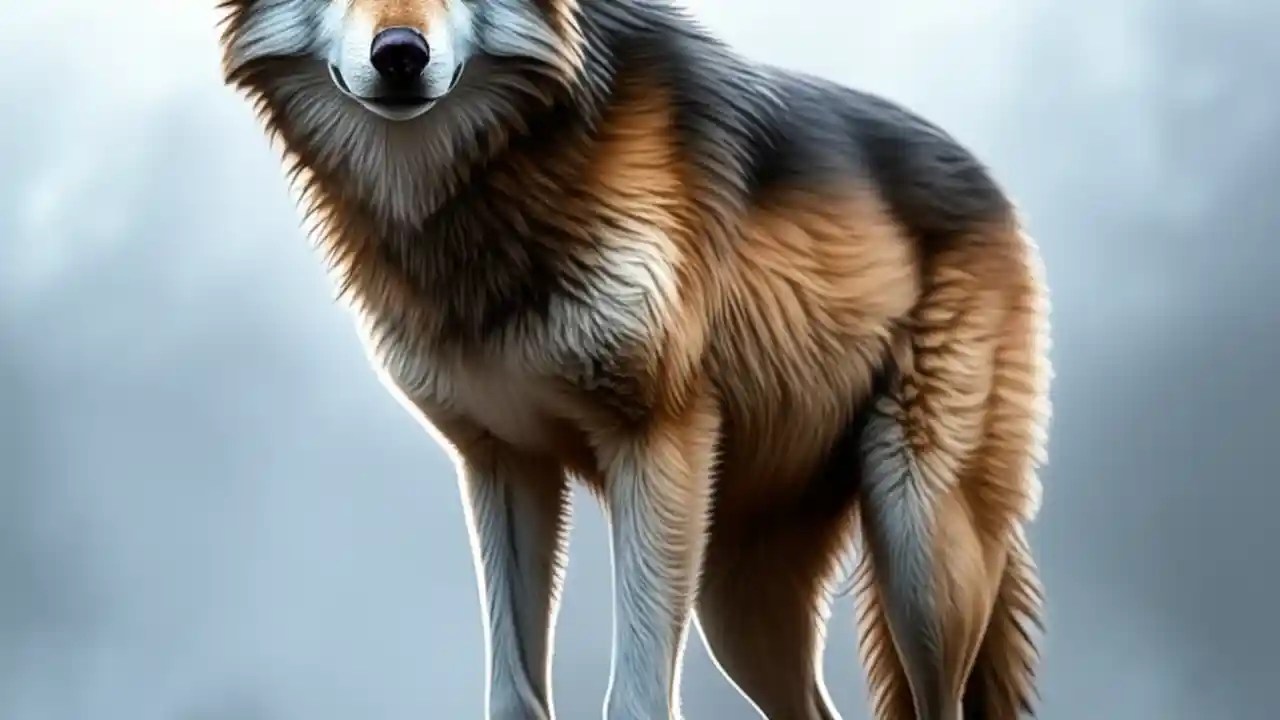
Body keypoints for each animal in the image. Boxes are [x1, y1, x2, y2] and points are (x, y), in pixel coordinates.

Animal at [215, 1, 1052, 718]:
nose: (399, 55)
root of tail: (996, 189)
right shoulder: (502, 461)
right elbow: (513, 692)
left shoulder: (656, 439)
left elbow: (638, 697)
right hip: (736, 599)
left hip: (919, 550)